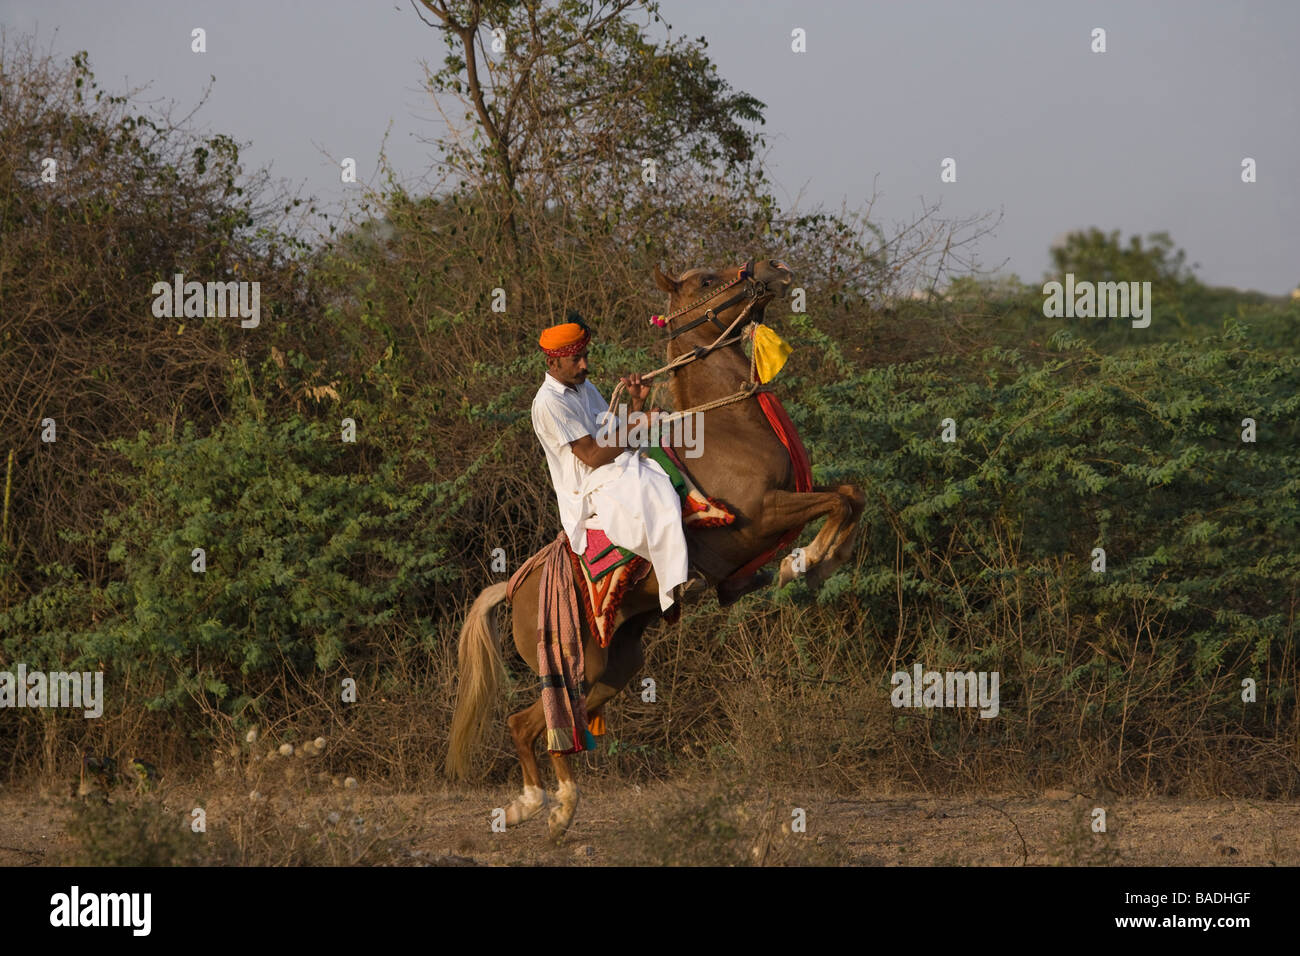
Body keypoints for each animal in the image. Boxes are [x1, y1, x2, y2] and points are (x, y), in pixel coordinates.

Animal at [445, 257, 865, 840]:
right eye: (708, 280)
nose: (773, 268)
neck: (728, 427)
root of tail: (515, 584)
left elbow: (852, 494)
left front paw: (823, 562)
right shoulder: (765, 512)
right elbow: (839, 501)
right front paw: (802, 562)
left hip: (613, 667)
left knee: (537, 724)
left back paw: (543, 807)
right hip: (574, 662)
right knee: (538, 724)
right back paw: (549, 807)